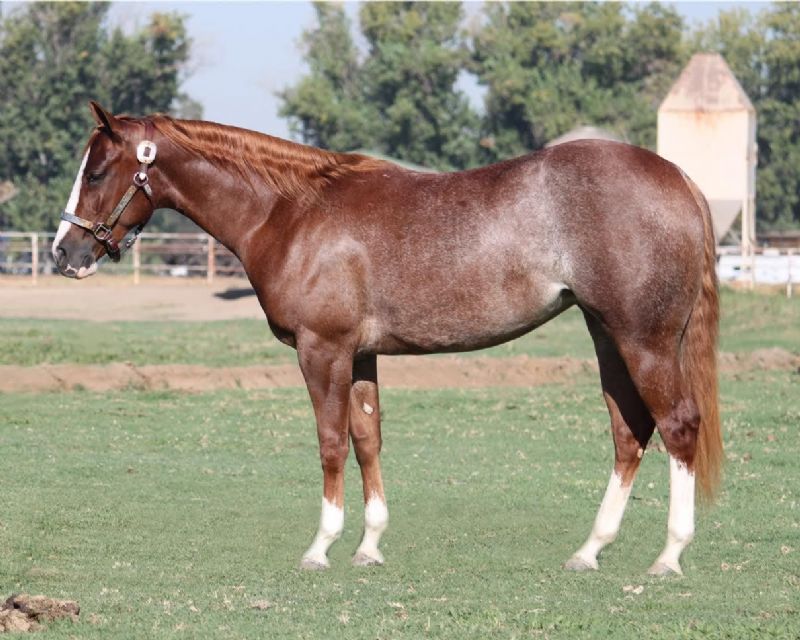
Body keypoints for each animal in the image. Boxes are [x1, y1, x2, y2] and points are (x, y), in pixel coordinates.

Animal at [52, 101, 721, 575]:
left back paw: (668, 557)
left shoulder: (322, 351)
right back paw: (589, 550)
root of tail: (679, 178)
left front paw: (320, 547)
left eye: (99, 170)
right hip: (608, 335)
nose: (64, 253)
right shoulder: (361, 355)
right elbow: (367, 440)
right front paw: (368, 546)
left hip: (644, 339)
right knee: (629, 432)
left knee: (678, 425)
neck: (291, 212)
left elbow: (330, 443)